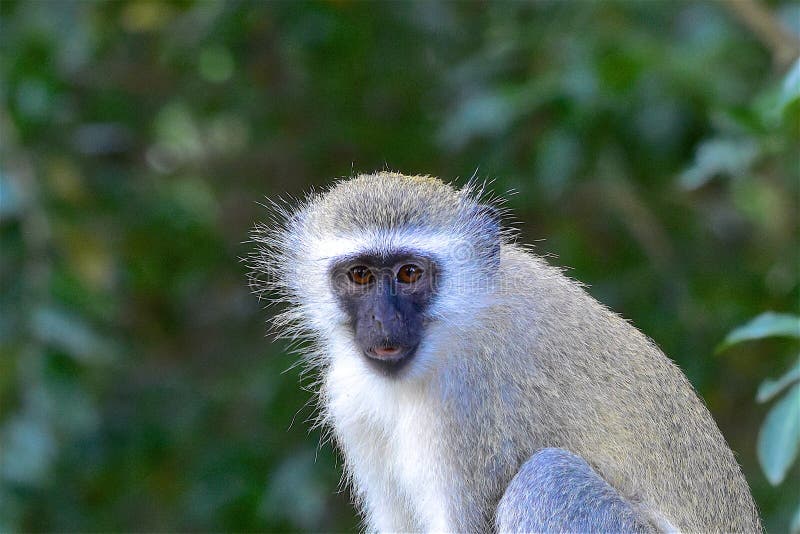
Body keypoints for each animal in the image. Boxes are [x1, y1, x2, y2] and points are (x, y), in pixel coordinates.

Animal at [249, 172, 761, 533]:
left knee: (546, 478)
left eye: (410, 273)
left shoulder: (471, 401)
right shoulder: (351, 400)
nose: (382, 321)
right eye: (360, 275)